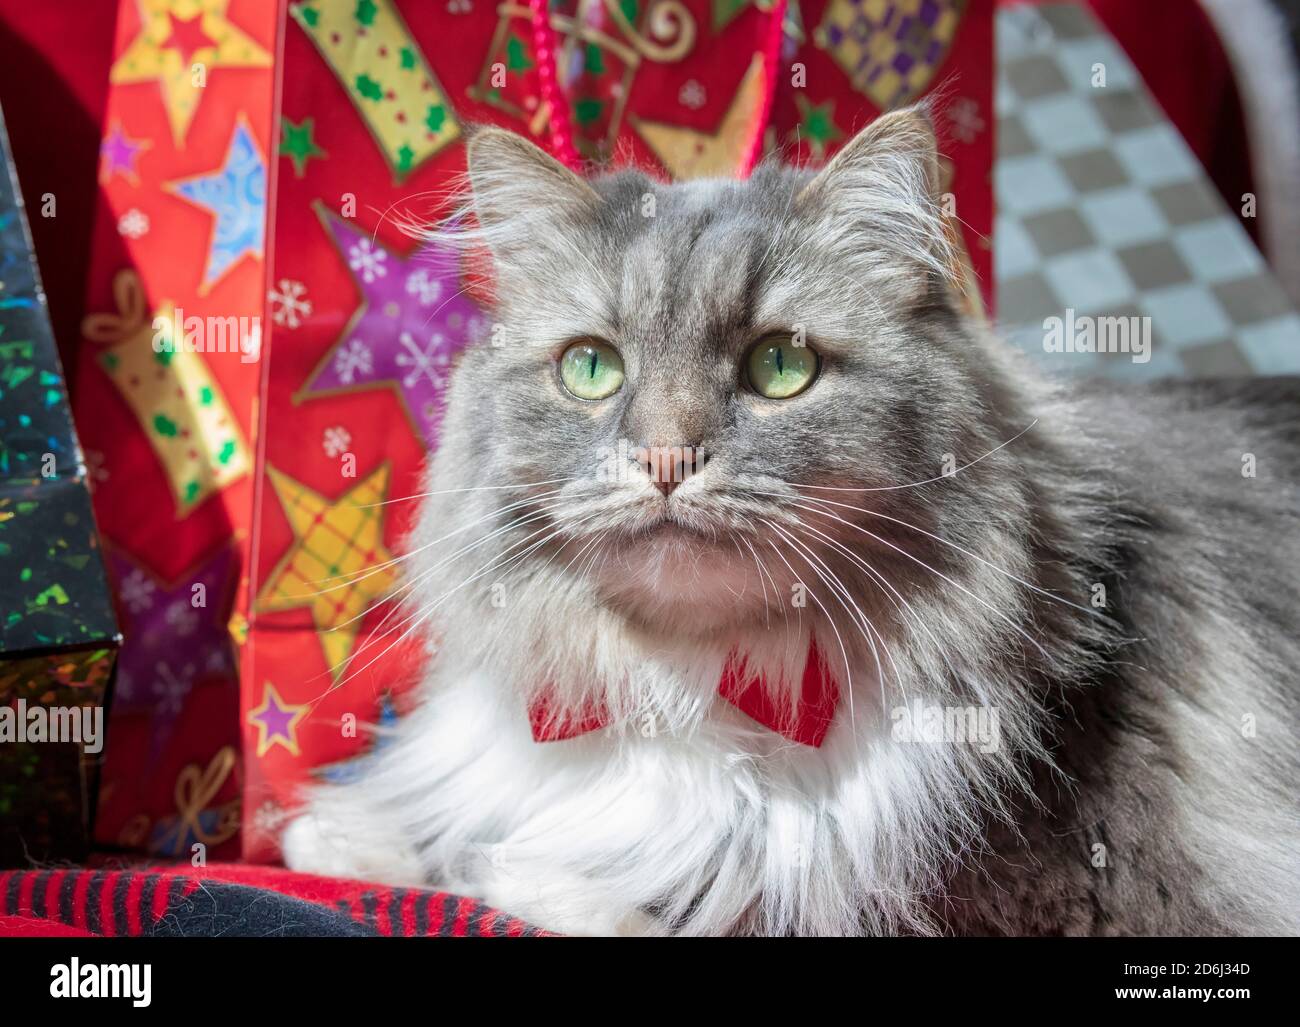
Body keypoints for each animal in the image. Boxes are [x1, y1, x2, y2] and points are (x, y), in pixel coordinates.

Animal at [284, 108, 1300, 935]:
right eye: (591, 369)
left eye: (780, 367)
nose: (666, 459)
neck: (688, 685)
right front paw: (347, 835)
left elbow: (693, 897)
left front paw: (505, 871)